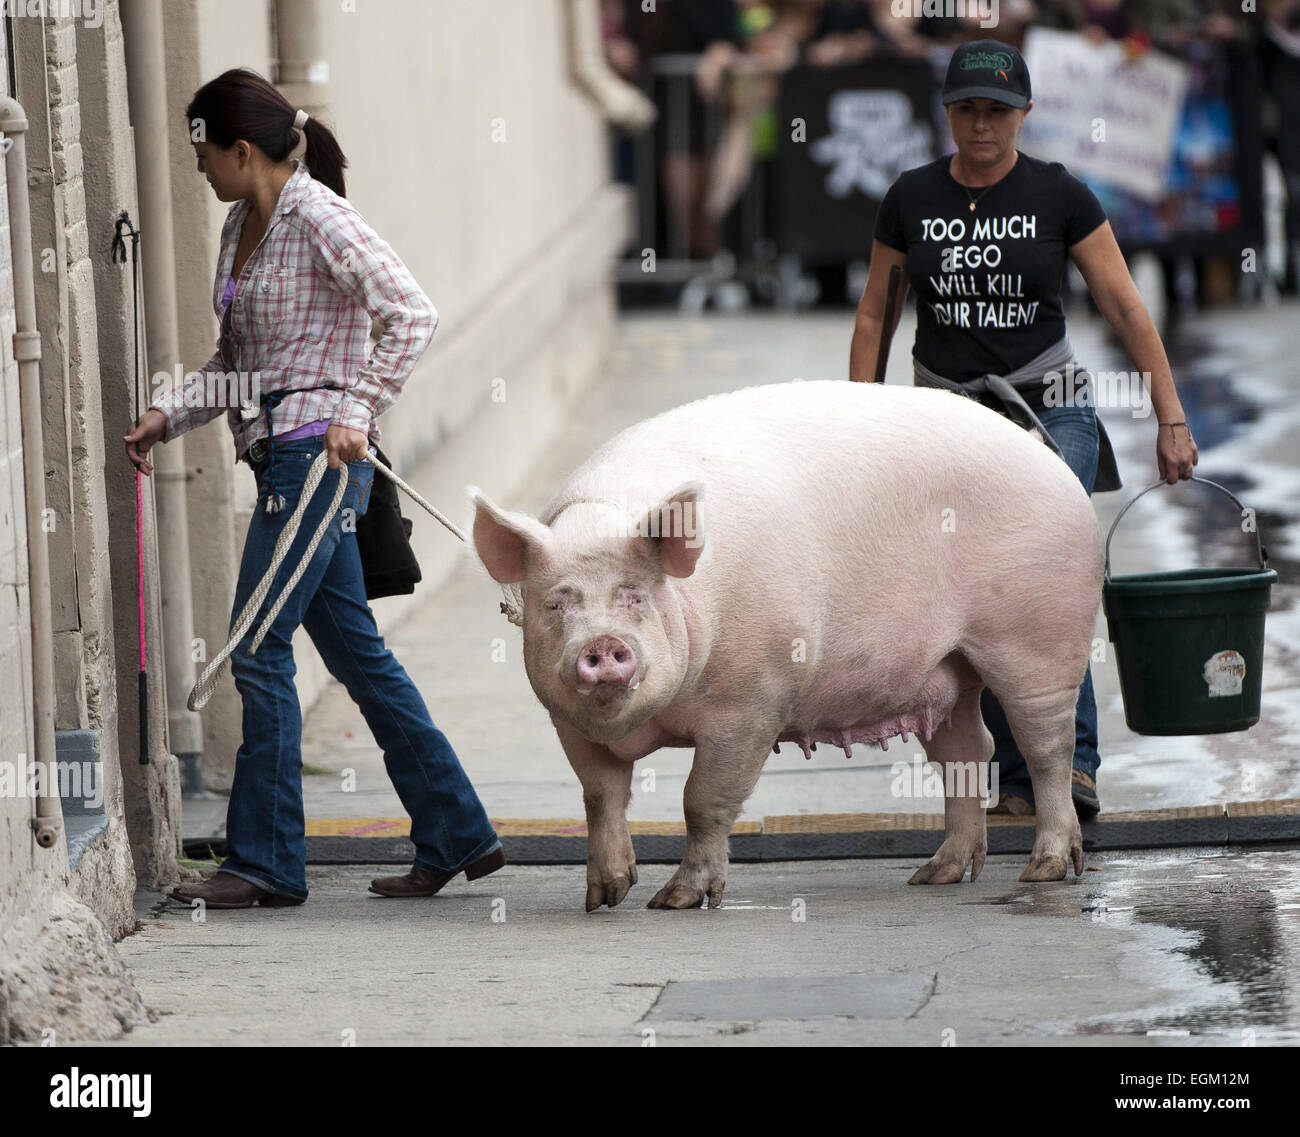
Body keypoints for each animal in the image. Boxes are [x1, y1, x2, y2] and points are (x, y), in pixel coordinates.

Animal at [471, 380, 1102, 911]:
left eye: (635, 596)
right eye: (556, 604)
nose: (602, 645)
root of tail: (1045, 454)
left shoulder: (754, 698)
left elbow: (701, 799)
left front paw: (676, 901)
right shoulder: (566, 720)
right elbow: (600, 796)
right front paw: (603, 899)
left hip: (1039, 637)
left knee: (1047, 746)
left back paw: (1044, 869)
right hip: (946, 667)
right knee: (970, 749)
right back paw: (934, 875)